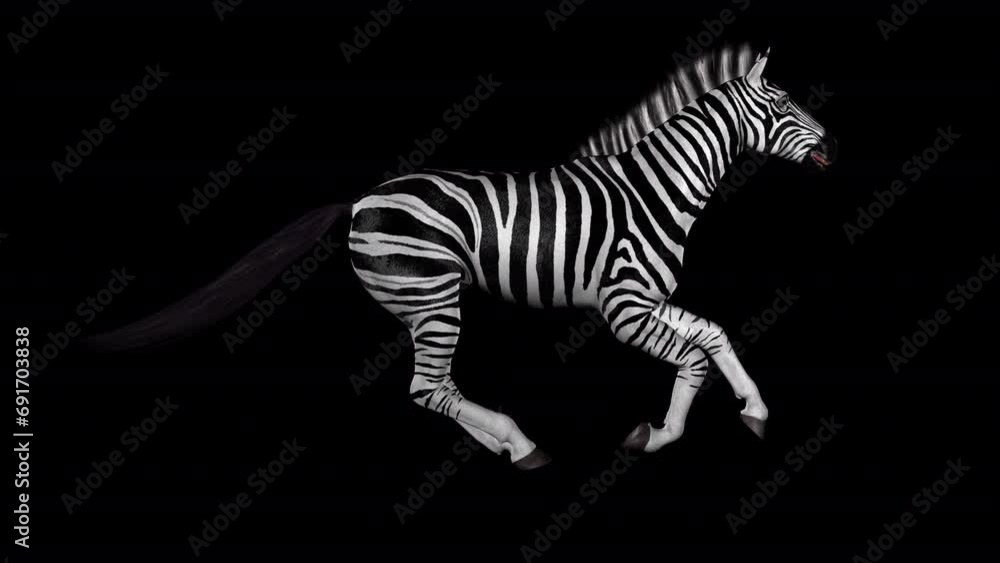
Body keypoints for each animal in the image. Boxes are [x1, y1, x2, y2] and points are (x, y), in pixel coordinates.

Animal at [88, 45, 837, 471]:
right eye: (780, 102)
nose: (832, 145)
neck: (652, 188)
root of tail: (358, 201)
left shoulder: (648, 297)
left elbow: (713, 336)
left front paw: (751, 410)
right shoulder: (623, 305)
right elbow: (693, 355)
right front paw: (655, 436)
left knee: (438, 390)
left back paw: (508, 444)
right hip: (433, 298)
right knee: (428, 388)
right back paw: (521, 444)